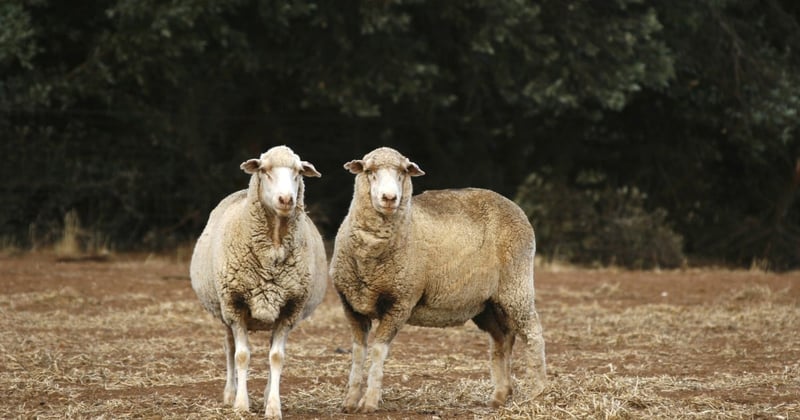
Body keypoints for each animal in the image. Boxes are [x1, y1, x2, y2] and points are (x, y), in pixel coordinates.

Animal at [189, 145, 327, 419]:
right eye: (265, 170)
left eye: (298, 172)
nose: (286, 200)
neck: (273, 244)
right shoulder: (235, 304)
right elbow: (242, 356)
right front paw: (241, 404)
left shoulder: (289, 308)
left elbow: (276, 357)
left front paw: (273, 406)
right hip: (224, 311)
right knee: (229, 349)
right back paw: (230, 393)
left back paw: (264, 396)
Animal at [330, 146, 547, 413]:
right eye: (369, 171)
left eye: (403, 171)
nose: (390, 198)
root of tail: (512, 205)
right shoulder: (351, 305)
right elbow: (358, 354)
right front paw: (350, 402)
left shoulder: (400, 303)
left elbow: (378, 353)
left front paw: (369, 402)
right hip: (486, 303)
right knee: (503, 339)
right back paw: (500, 395)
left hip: (516, 284)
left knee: (533, 333)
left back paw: (538, 392)